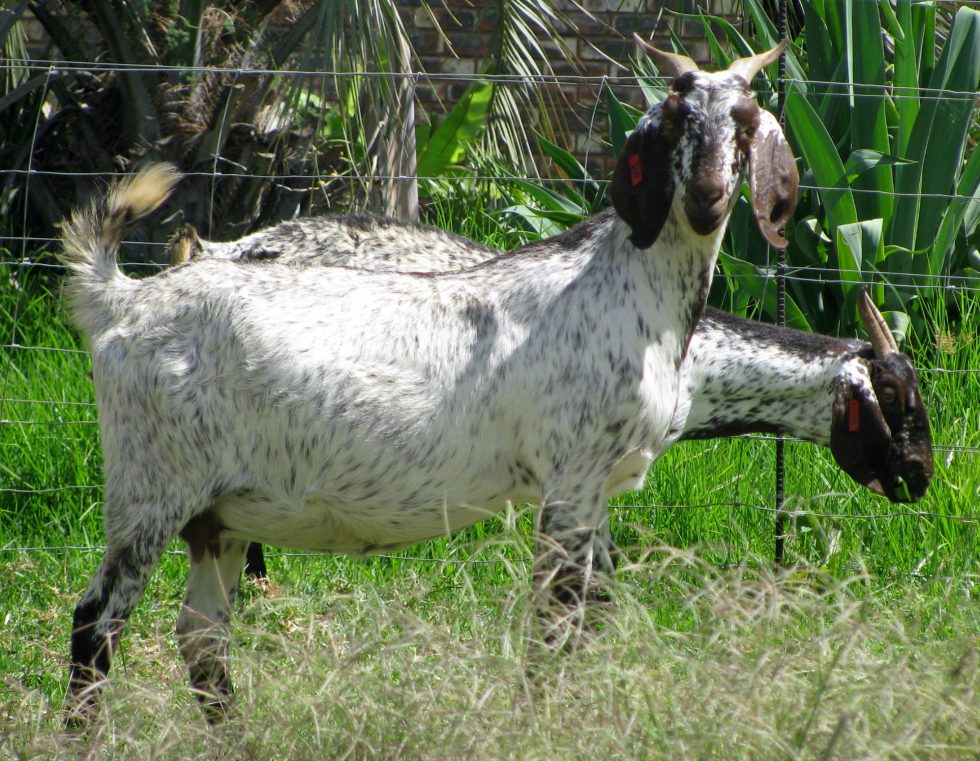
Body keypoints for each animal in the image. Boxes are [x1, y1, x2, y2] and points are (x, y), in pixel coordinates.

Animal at [60, 42, 797, 723]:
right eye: (674, 120)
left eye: (746, 120)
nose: (706, 199)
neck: (627, 288)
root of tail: (122, 300)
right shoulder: (572, 475)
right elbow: (556, 624)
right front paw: (541, 724)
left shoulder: (599, 488)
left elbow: (591, 615)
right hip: (152, 487)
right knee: (96, 623)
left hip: (220, 512)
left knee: (201, 638)